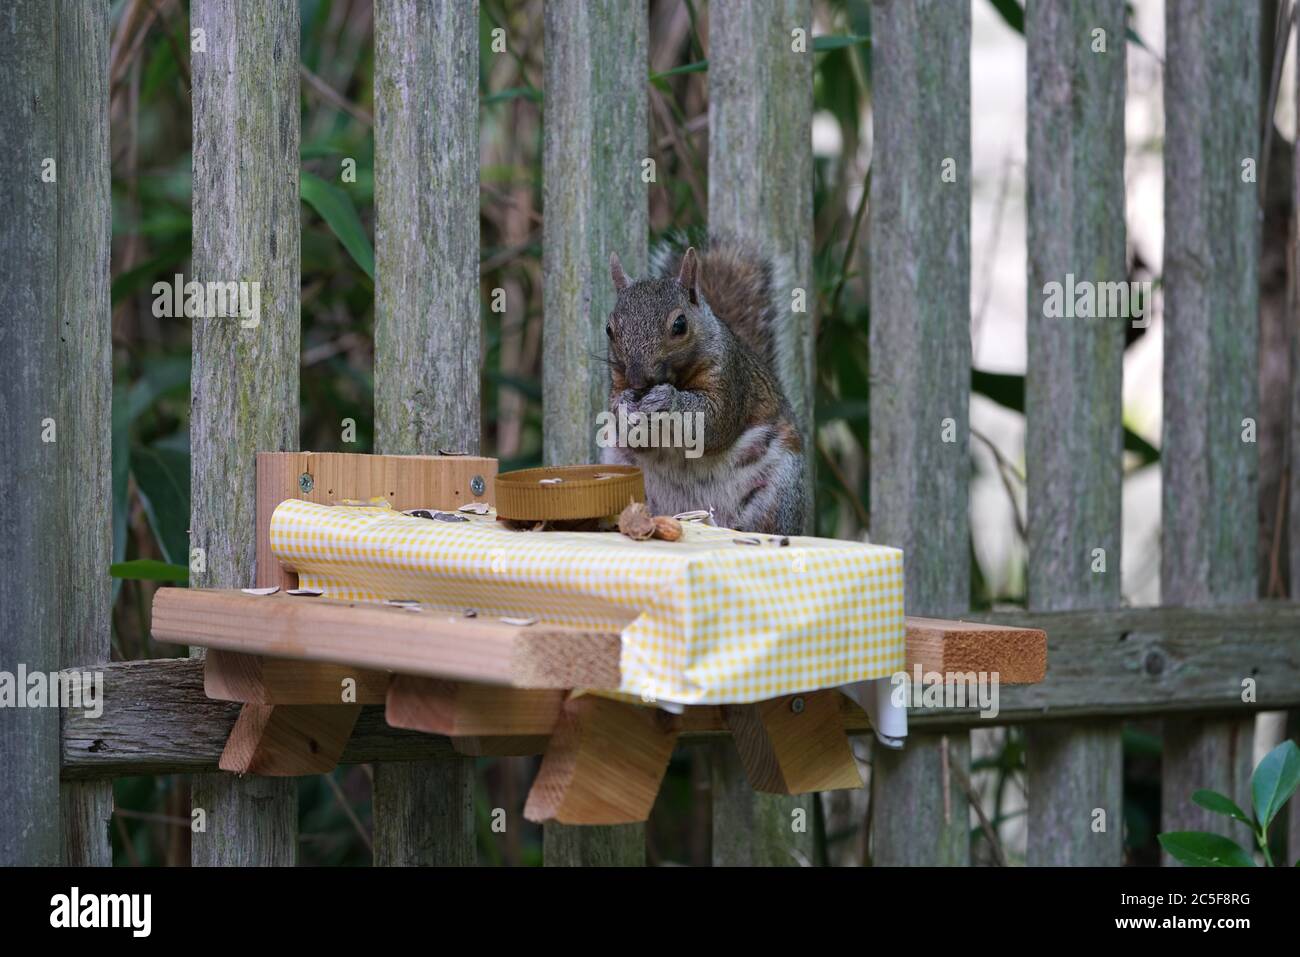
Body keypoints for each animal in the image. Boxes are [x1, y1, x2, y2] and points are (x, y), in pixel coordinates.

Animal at [601, 234, 806, 536]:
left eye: (680, 324)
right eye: (609, 329)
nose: (638, 381)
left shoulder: (729, 377)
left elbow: (712, 423)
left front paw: (667, 401)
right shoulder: (617, 378)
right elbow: (628, 429)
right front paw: (626, 407)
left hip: (777, 493)